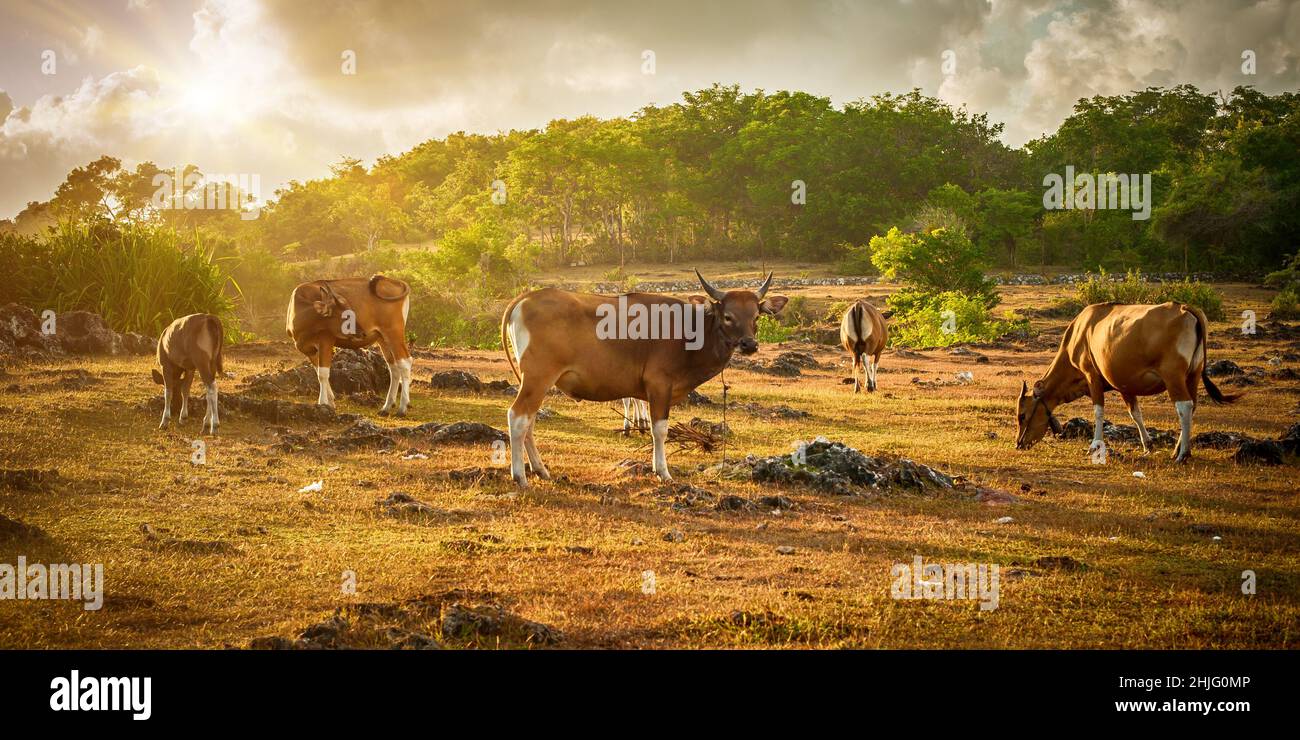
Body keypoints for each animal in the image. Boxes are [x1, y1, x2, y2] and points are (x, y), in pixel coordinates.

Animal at [286, 275, 412, 416]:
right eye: (346, 316)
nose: (362, 332)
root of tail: (395, 282)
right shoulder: (310, 351)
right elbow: (318, 372)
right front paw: (331, 401)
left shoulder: (326, 341)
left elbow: (323, 374)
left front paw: (323, 403)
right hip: (382, 338)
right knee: (394, 367)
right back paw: (387, 407)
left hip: (394, 333)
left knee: (405, 363)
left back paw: (402, 408)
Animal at [500, 270, 788, 486]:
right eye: (728, 316)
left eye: (756, 316)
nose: (749, 344)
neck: (690, 331)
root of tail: (526, 298)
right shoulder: (659, 385)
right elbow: (659, 430)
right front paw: (662, 471)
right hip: (538, 377)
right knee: (518, 417)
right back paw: (520, 476)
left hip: (535, 381)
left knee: (529, 421)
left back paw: (540, 470)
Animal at [1015, 302, 1240, 462]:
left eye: (1022, 415)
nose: (1019, 444)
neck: (1079, 334)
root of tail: (1185, 308)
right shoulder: (1124, 384)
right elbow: (1135, 413)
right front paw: (1148, 445)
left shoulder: (1092, 376)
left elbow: (1098, 411)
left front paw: (1094, 445)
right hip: (1192, 375)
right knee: (1192, 406)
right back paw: (1178, 450)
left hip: (1173, 376)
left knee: (1183, 406)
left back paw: (1182, 454)